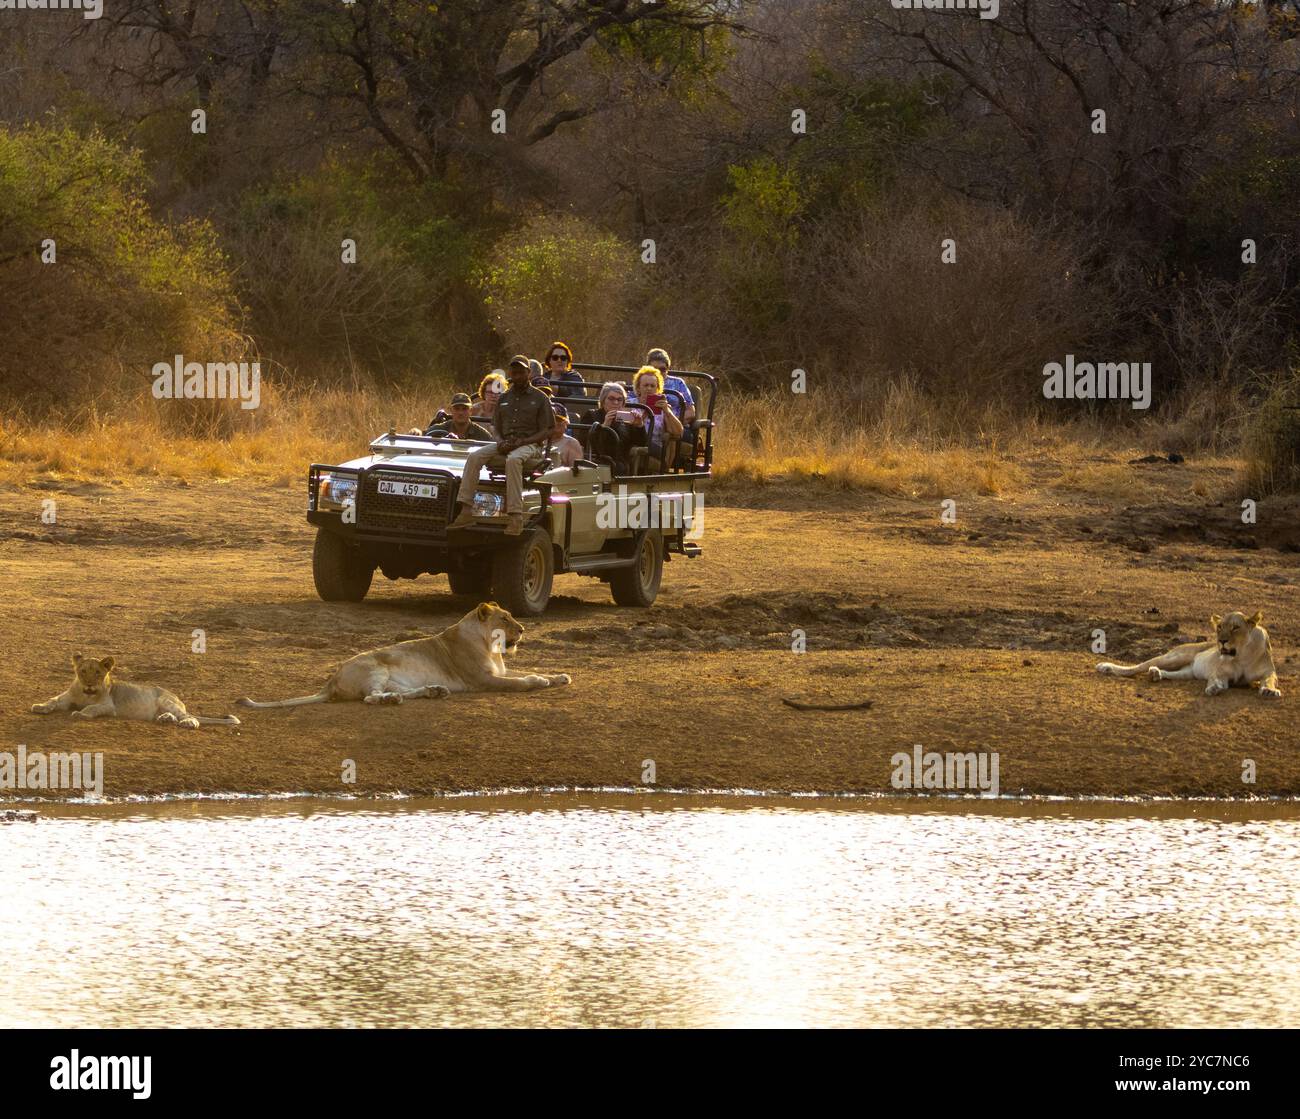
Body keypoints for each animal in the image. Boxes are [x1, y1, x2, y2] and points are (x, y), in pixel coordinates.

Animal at [31, 653, 242, 727]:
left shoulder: (109, 706)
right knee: (173, 717)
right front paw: (39, 706)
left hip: (165, 699)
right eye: (83, 672)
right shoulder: (66, 698)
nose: (89, 684)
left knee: (189, 717)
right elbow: (53, 700)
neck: (86, 694)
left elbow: (92, 708)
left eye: (98, 673)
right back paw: (165, 719)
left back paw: (189, 723)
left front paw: (80, 713)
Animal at [236, 602, 569, 709]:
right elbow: (519, 681)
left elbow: (528, 670)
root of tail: (329, 681)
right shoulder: (483, 680)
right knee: (370, 698)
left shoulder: (498, 670)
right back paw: (393, 699)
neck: (491, 647)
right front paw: (538, 682)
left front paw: (559, 676)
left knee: (400, 692)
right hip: (375, 667)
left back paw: (433, 691)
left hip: (395, 678)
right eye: (505, 619)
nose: (523, 629)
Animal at [1096, 610, 1281, 698]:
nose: (1221, 641)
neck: (1241, 655)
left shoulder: (1268, 671)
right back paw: (1106, 667)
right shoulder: (1219, 671)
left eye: (1235, 627)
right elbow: (1216, 679)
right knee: (1137, 667)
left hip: (1188, 672)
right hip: (1175, 657)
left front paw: (1270, 690)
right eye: (1219, 626)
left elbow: (1270, 679)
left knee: (1171, 673)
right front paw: (1214, 688)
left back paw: (1156, 674)